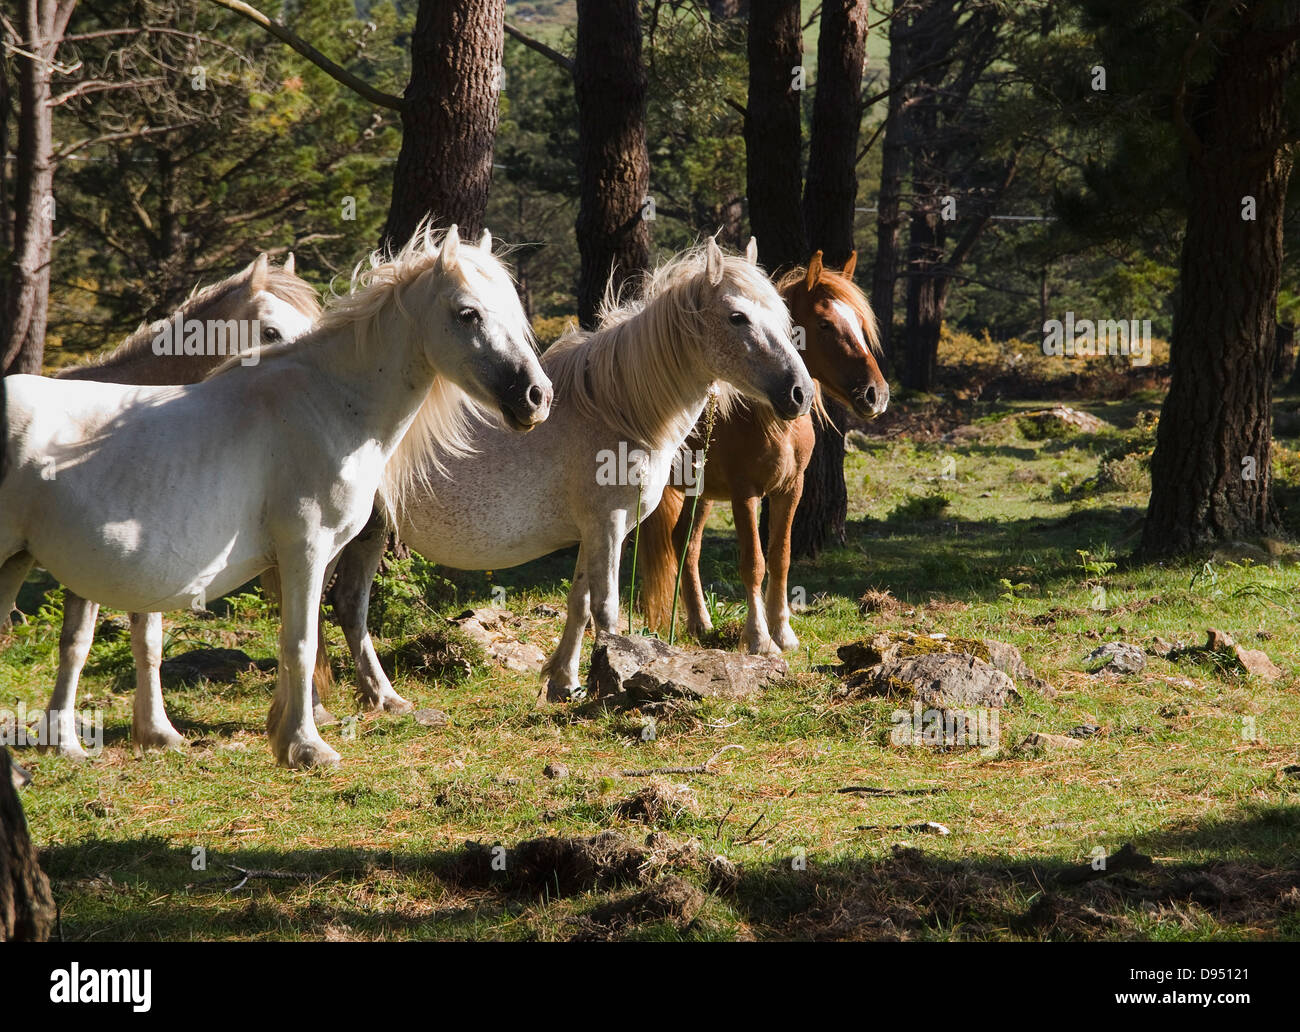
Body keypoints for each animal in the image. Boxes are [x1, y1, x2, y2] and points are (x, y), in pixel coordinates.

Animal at [318, 235, 814, 710]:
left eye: (782, 314)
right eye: (737, 317)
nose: (800, 393)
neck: (616, 408)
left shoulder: (594, 531)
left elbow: (579, 604)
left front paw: (565, 681)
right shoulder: (608, 525)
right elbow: (607, 609)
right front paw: (613, 684)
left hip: (368, 532)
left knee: (345, 602)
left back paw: (376, 697)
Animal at [639, 250, 889, 655]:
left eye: (859, 322)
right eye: (825, 324)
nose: (876, 394)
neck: (769, 419)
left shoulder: (790, 489)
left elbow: (780, 556)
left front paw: (784, 632)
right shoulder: (746, 494)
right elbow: (753, 563)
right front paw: (758, 637)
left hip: (701, 493)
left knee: (685, 544)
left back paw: (700, 623)